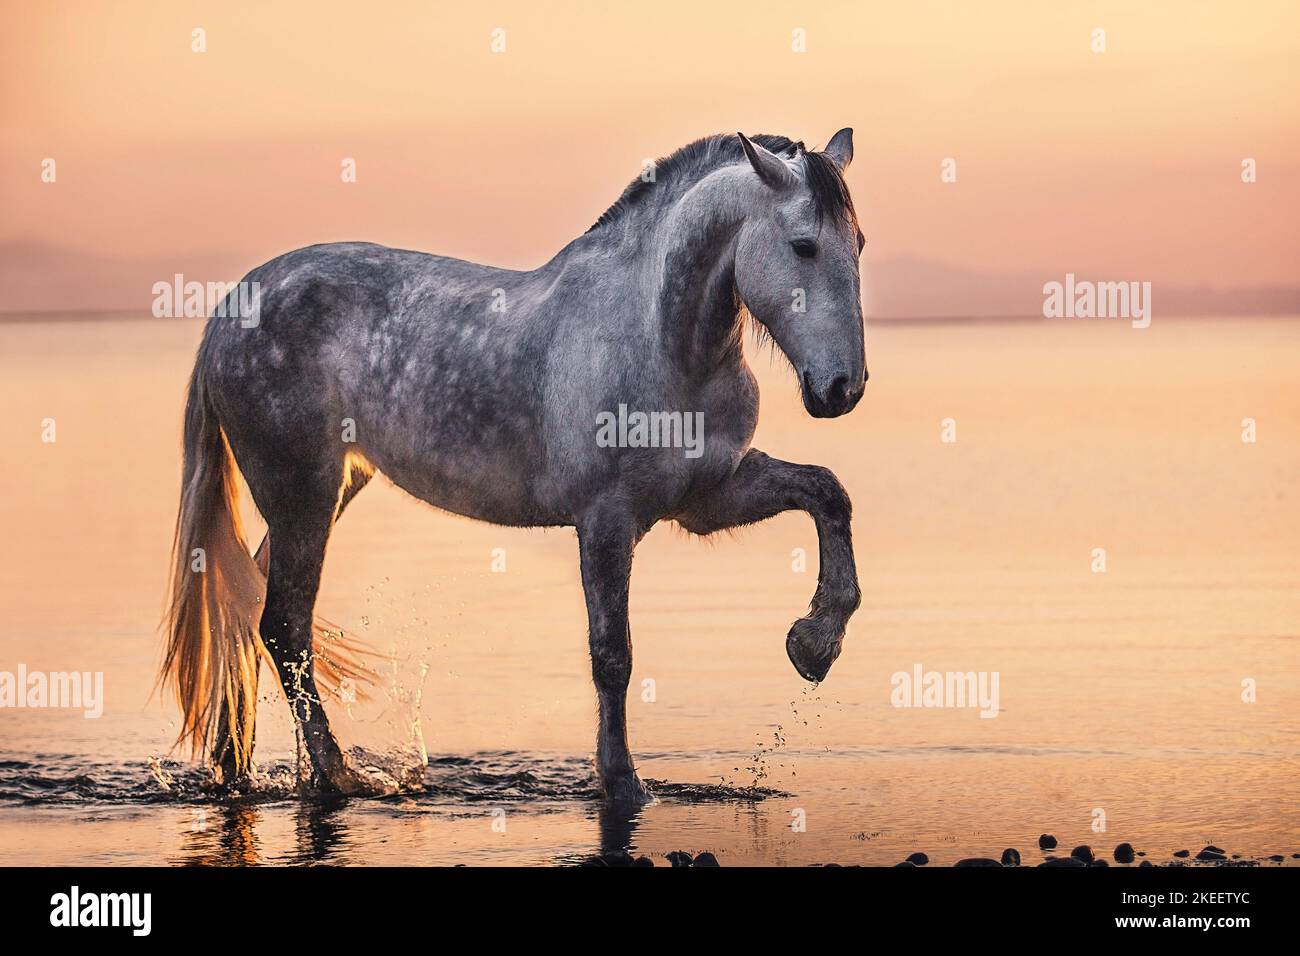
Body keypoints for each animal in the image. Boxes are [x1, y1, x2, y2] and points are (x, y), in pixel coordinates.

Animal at [162, 128, 867, 803]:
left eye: (857, 243)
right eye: (804, 246)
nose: (843, 388)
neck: (660, 337)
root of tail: (231, 308)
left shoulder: (710, 497)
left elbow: (828, 493)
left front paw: (814, 643)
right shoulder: (606, 521)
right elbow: (612, 655)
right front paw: (621, 780)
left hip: (327, 491)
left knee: (248, 606)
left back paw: (239, 764)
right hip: (302, 493)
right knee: (284, 623)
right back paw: (339, 775)